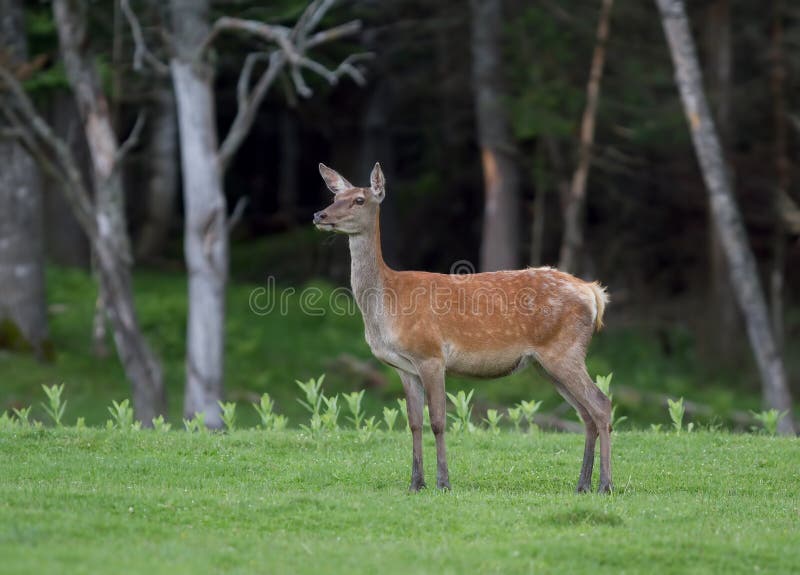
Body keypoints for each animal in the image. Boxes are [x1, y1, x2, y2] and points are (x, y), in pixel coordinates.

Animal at [313, 162, 613, 494]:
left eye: (359, 200)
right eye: (335, 196)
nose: (319, 215)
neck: (387, 303)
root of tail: (593, 293)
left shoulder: (430, 354)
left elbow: (438, 421)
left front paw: (443, 482)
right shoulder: (403, 366)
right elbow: (414, 422)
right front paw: (416, 483)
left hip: (564, 350)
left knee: (601, 404)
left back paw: (605, 485)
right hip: (545, 363)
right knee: (585, 413)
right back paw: (582, 485)